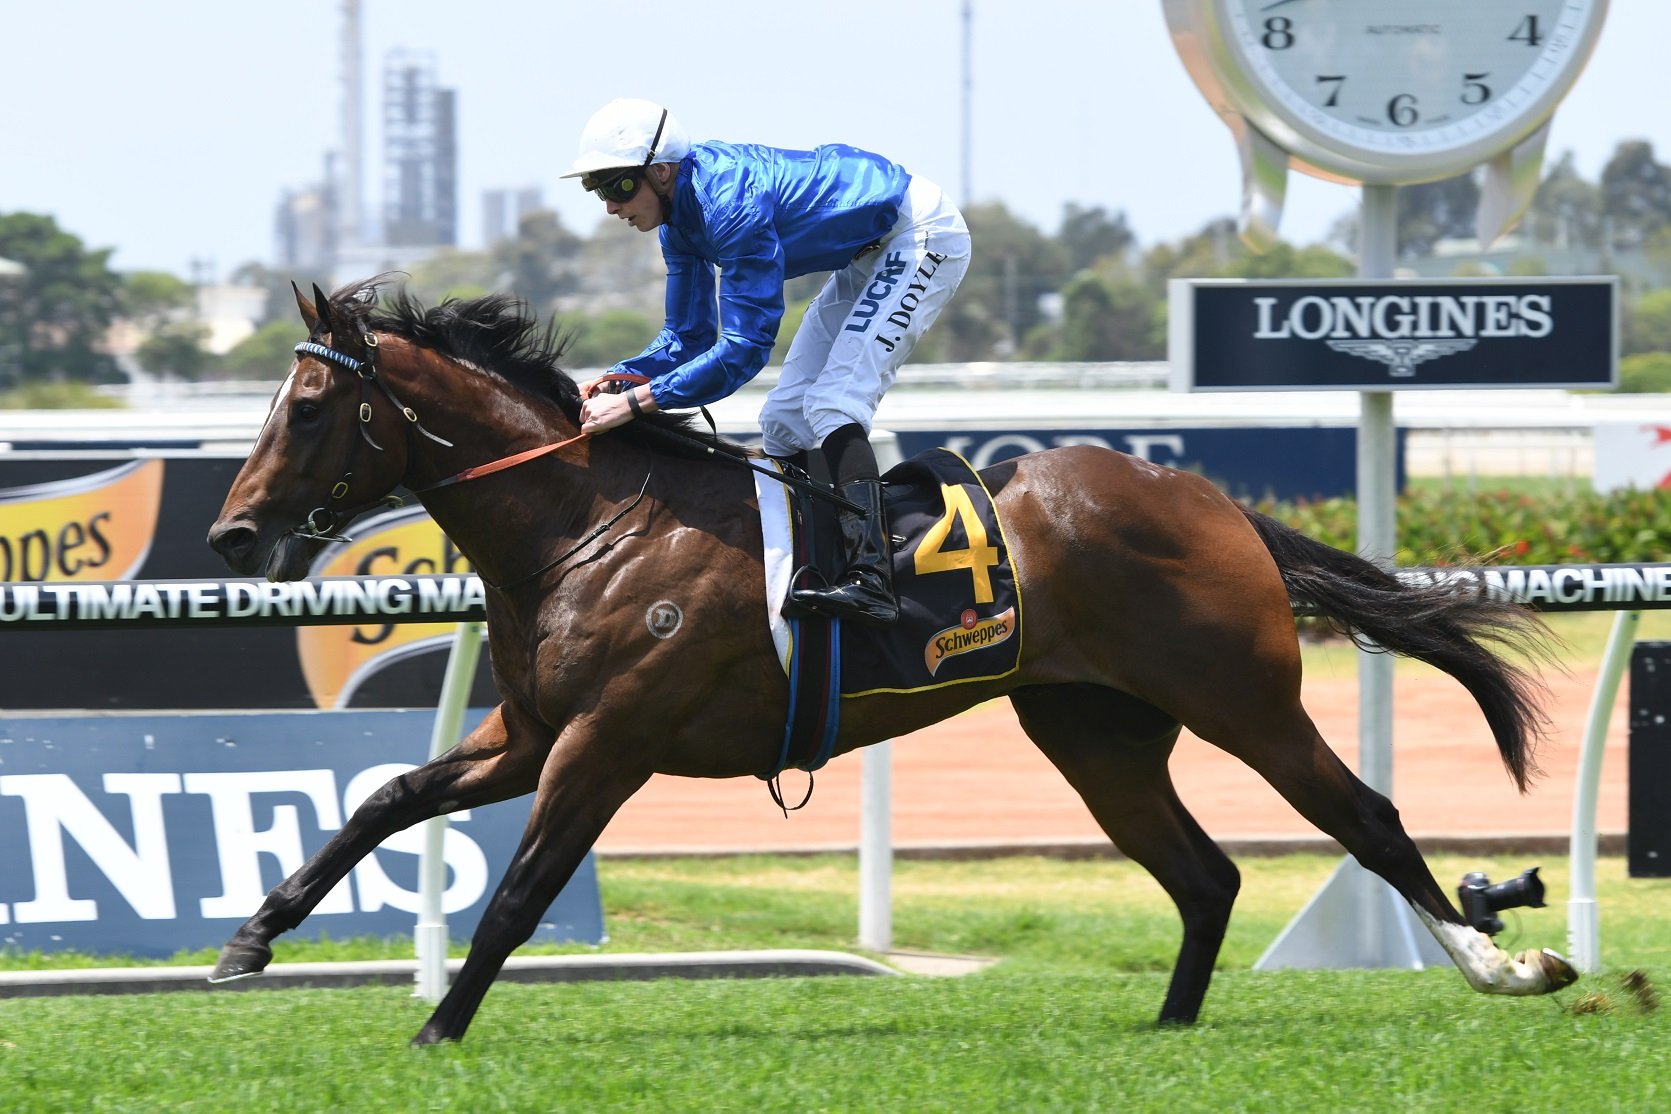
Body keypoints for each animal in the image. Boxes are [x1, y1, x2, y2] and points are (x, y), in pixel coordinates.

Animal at [206, 278, 1576, 1046]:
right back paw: (1169, 1028)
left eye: (311, 409)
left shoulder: (611, 740)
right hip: (1094, 730)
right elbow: (383, 801)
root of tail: (1216, 500)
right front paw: (251, 939)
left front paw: (439, 1028)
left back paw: (1509, 963)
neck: (592, 520)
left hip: (1242, 696)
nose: (231, 533)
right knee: (1205, 874)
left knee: (1367, 818)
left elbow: (523, 890)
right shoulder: (532, 732)